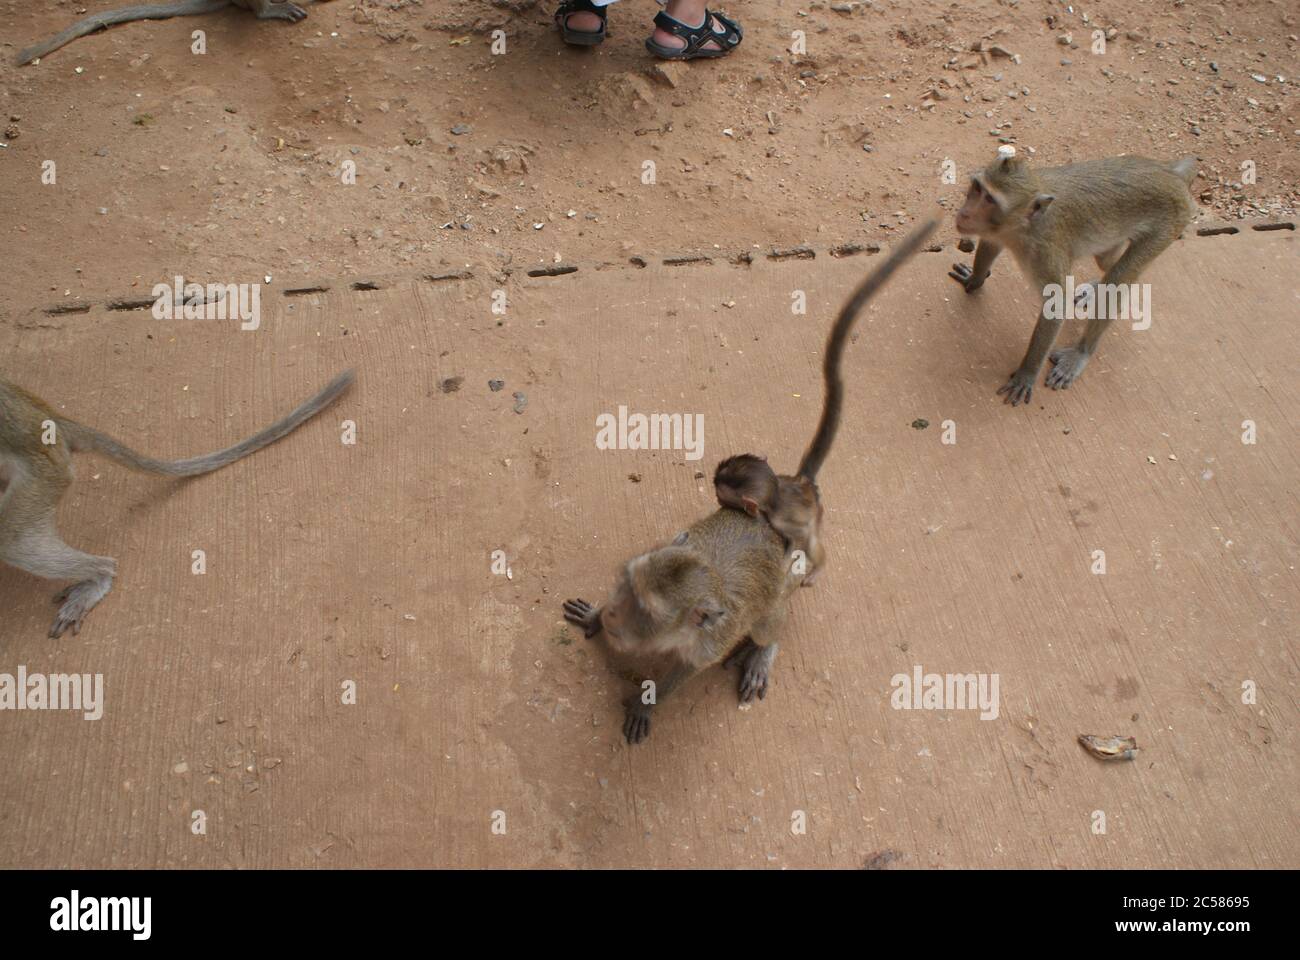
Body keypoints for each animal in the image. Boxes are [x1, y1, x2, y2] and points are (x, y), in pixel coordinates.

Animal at [564, 218, 938, 744]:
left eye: (646, 611)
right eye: (624, 585)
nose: (615, 613)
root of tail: (795, 488)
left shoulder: (709, 640)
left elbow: (688, 669)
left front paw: (645, 702)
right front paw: (597, 615)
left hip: (785, 585)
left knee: (770, 620)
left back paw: (764, 648)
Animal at [949, 148, 1197, 406]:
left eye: (990, 200)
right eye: (977, 189)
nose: (964, 213)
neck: (1025, 226)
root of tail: (1168, 173)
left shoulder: (1046, 253)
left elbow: (1057, 303)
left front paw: (1026, 373)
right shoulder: (999, 233)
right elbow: (990, 245)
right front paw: (974, 279)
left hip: (1170, 221)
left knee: (1118, 280)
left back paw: (1082, 351)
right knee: (1107, 261)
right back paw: (1097, 286)